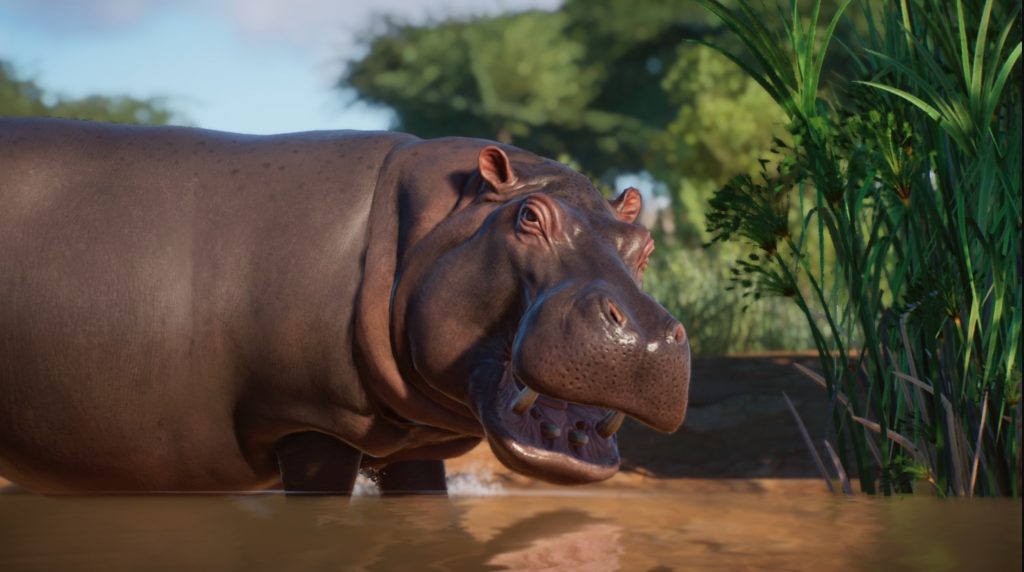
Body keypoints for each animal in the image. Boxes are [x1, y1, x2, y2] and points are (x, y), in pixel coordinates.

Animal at [0, 118, 690, 494]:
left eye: (645, 243)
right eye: (528, 217)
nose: (650, 333)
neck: (429, 219)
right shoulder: (308, 422)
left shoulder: (409, 448)